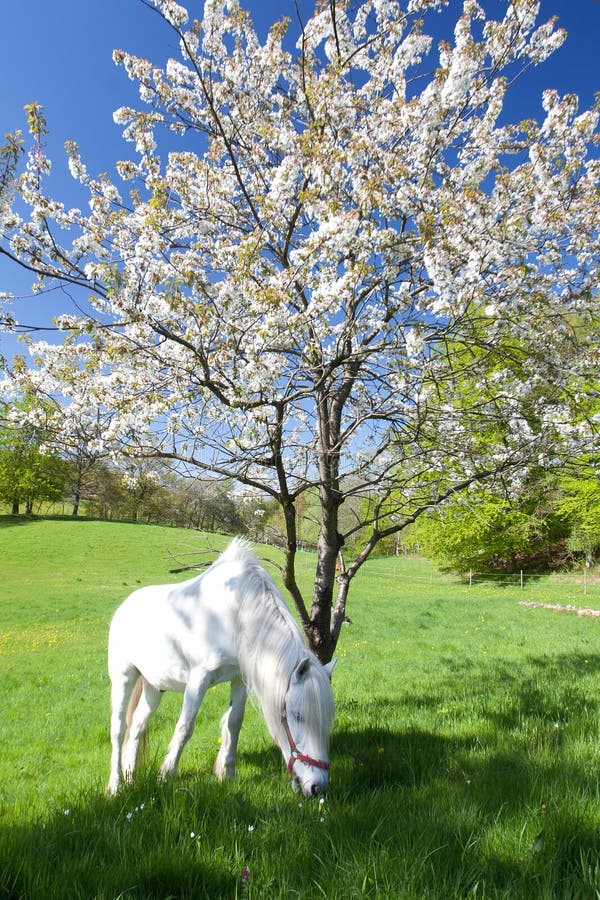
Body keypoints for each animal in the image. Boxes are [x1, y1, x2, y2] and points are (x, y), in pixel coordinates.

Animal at [107, 538, 336, 797]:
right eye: (298, 716)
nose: (318, 786)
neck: (235, 613)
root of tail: (124, 607)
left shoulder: (239, 678)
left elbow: (234, 722)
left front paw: (227, 774)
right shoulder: (199, 678)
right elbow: (185, 727)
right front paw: (166, 776)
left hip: (153, 687)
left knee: (136, 726)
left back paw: (130, 777)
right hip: (123, 677)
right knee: (119, 729)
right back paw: (116, 785)